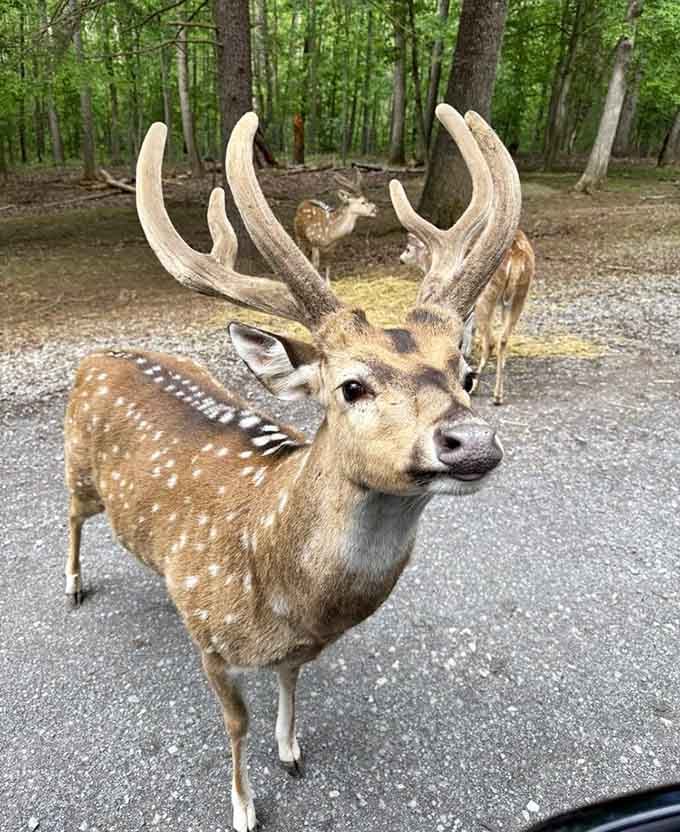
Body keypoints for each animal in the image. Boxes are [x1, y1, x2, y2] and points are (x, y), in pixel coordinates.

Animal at [64, 103, 520, 832]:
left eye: (467, 375)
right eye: (351, 386)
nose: (471, 441)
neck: (276, 582)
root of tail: (98, 355)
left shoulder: (296, 647)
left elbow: (290, 683)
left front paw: (291, 750)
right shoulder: (214, 649)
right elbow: (235, 724)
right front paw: (245, 807)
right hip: (77, 468)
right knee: (73, 518)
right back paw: (74, 585)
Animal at [400, 228, 534, 405]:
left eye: (408, 248)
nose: (400, 259)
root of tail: (518, 257)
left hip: (486, 297)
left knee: (491, 341)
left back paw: (478, 388)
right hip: (519, 295)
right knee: (503, 338)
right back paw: (497, 393)